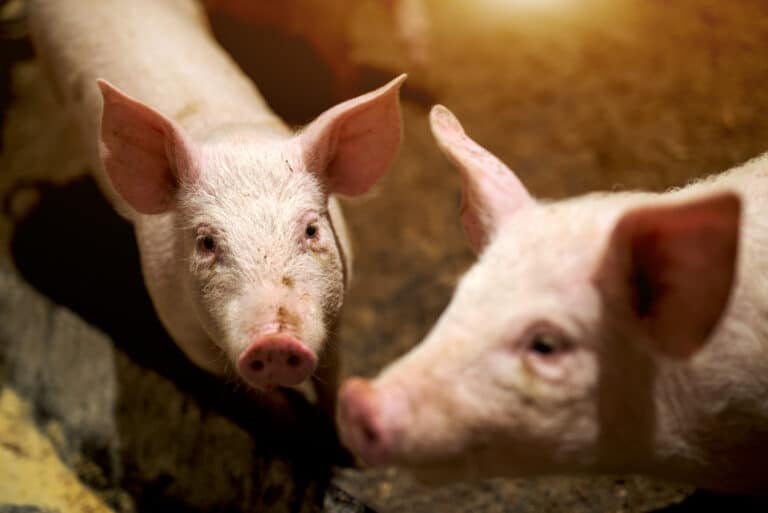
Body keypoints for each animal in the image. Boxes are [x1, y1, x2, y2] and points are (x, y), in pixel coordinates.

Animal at [27, 0, 405, 399]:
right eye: (206, 242)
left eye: (312, 230)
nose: (274, 343)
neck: (234, 137)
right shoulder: (187, 338)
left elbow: (332, 377)